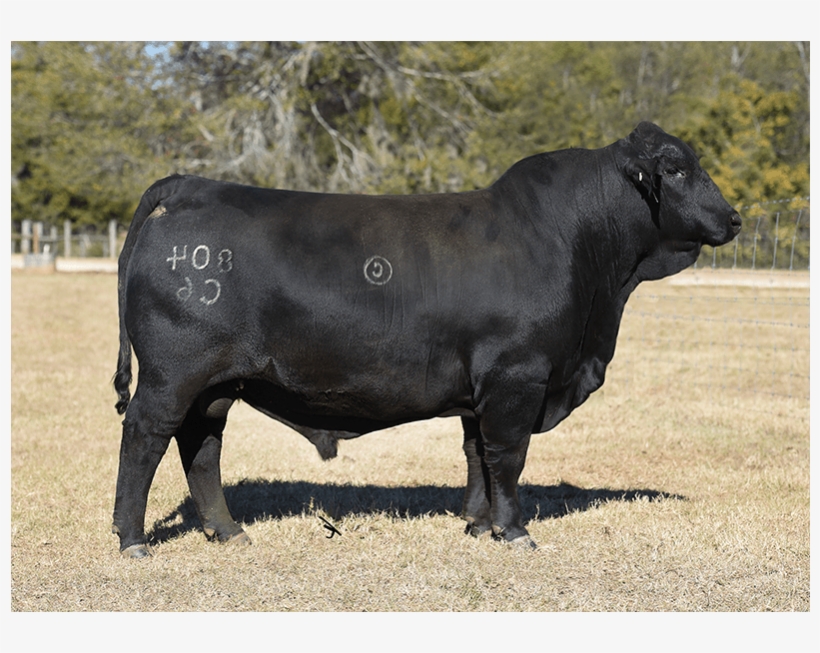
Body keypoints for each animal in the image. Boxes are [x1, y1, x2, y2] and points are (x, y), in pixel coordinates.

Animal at [112, 121, 741, 558]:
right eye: (676, 169)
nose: (733, 218)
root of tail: (190, 185)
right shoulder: (518, 376)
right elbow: (508, 454)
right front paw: (514, 531)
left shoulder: (483, 389)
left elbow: (477, 454)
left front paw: (478, 524)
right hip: (172, 375)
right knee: (145, 437)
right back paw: (132, 539)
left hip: (216, 383)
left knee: (201, 445)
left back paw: (228, 532)